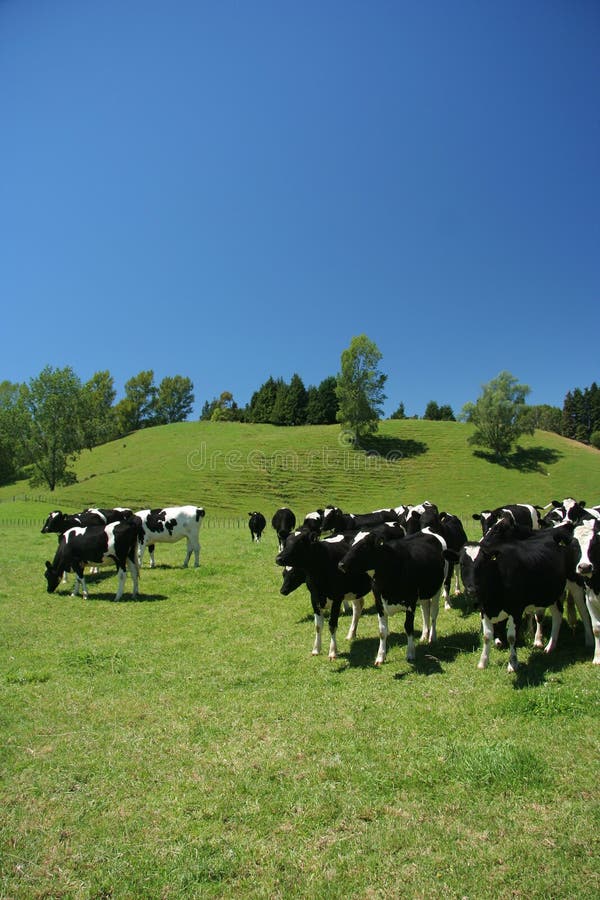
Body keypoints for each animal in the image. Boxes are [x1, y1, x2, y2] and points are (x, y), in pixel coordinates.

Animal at [276, 530, 372, 659]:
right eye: (285, 543)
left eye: (299, 544)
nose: (278, 558)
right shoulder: (314, 598)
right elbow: (318, 626)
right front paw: (316, 649)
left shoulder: (337, 598)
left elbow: (332, 625)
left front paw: (332, 652)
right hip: (355, 589)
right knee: (358, 606)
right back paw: (351, 634)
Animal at [338, 527, 448, 666]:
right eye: (351, 544)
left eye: (363, 546)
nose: (341, 564)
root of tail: (427, 530)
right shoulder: (379, 604)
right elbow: (382, 631)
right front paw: (380, 657)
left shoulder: (410, 603)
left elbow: (408, 627)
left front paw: (410, 653)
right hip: (423, 594)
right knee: (425, 612)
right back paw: (424, 635)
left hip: (437, 588)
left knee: (433, 613)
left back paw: (432, 637)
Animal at [458, 525, 573, 671]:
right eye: (462, 564)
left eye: (483, 564)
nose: (472, 590)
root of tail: (551, 534)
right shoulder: (484, 609)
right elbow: (486, 636)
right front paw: (483, 662)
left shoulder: (516, 610)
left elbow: (512, 637)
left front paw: (513, 664)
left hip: (558, 592)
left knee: (557, 614)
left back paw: (550, 646)